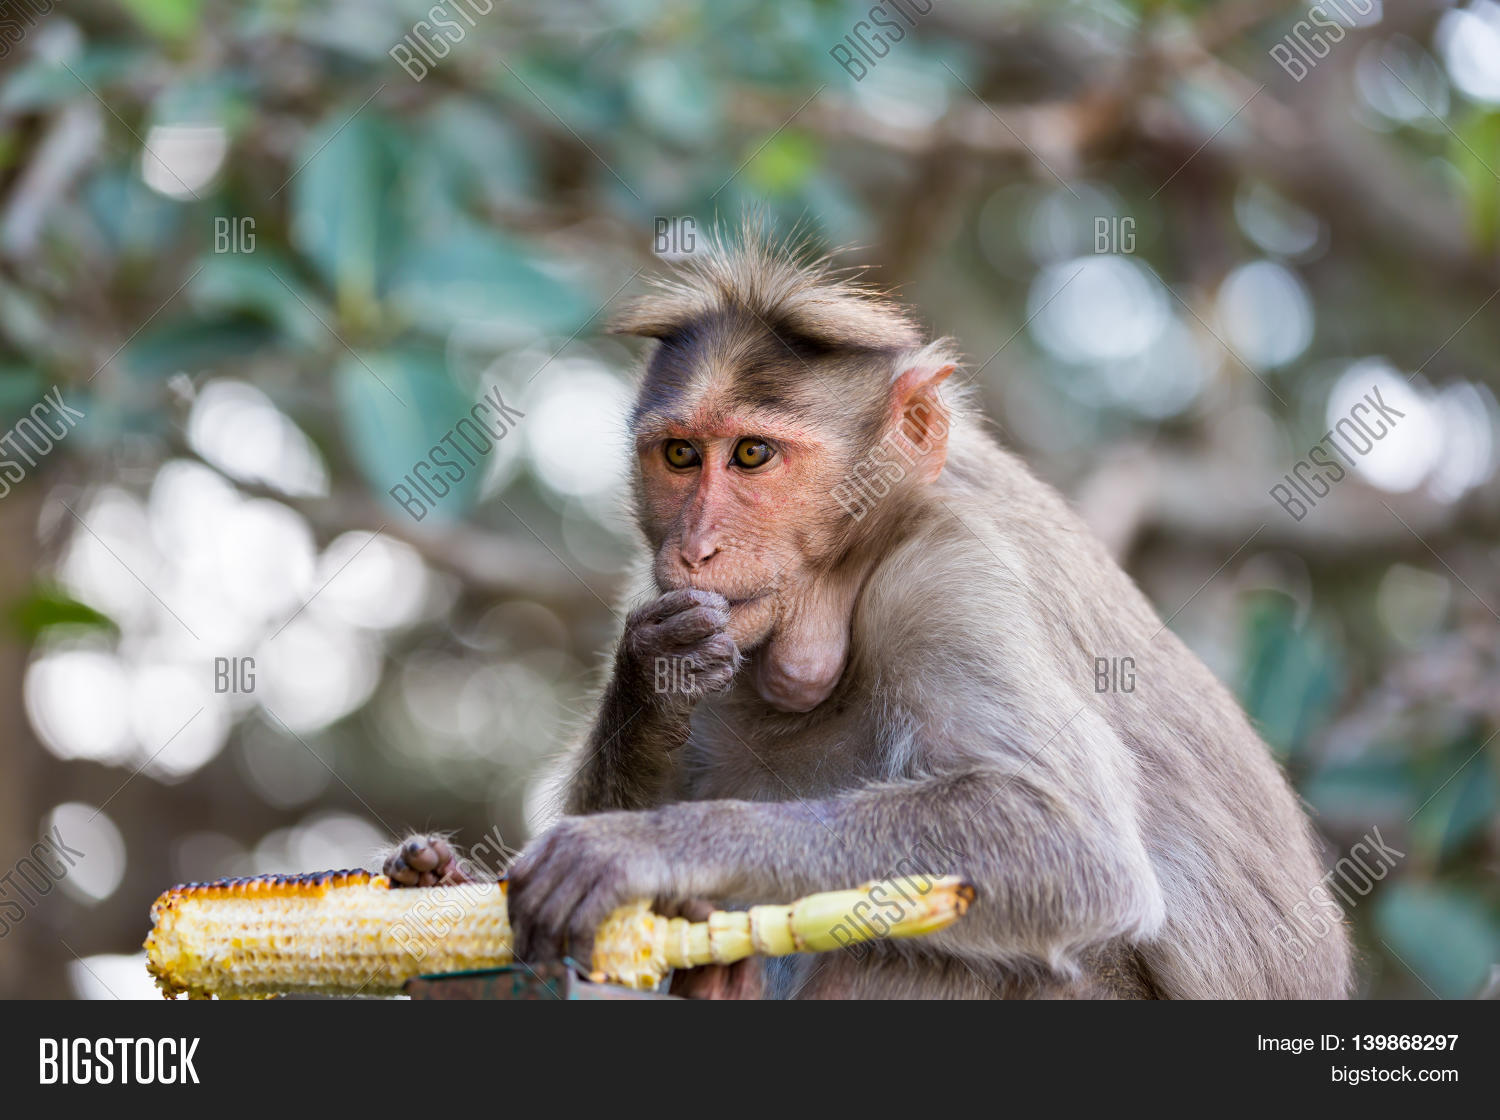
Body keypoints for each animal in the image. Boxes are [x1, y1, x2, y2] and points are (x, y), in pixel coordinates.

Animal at [386, 227, 1353, 999]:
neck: (854, 573)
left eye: (751, 455)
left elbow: (1072, 844)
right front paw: (650, 683)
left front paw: (649, 843)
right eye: (679, 455)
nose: (695, 548)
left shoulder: (948, 582)